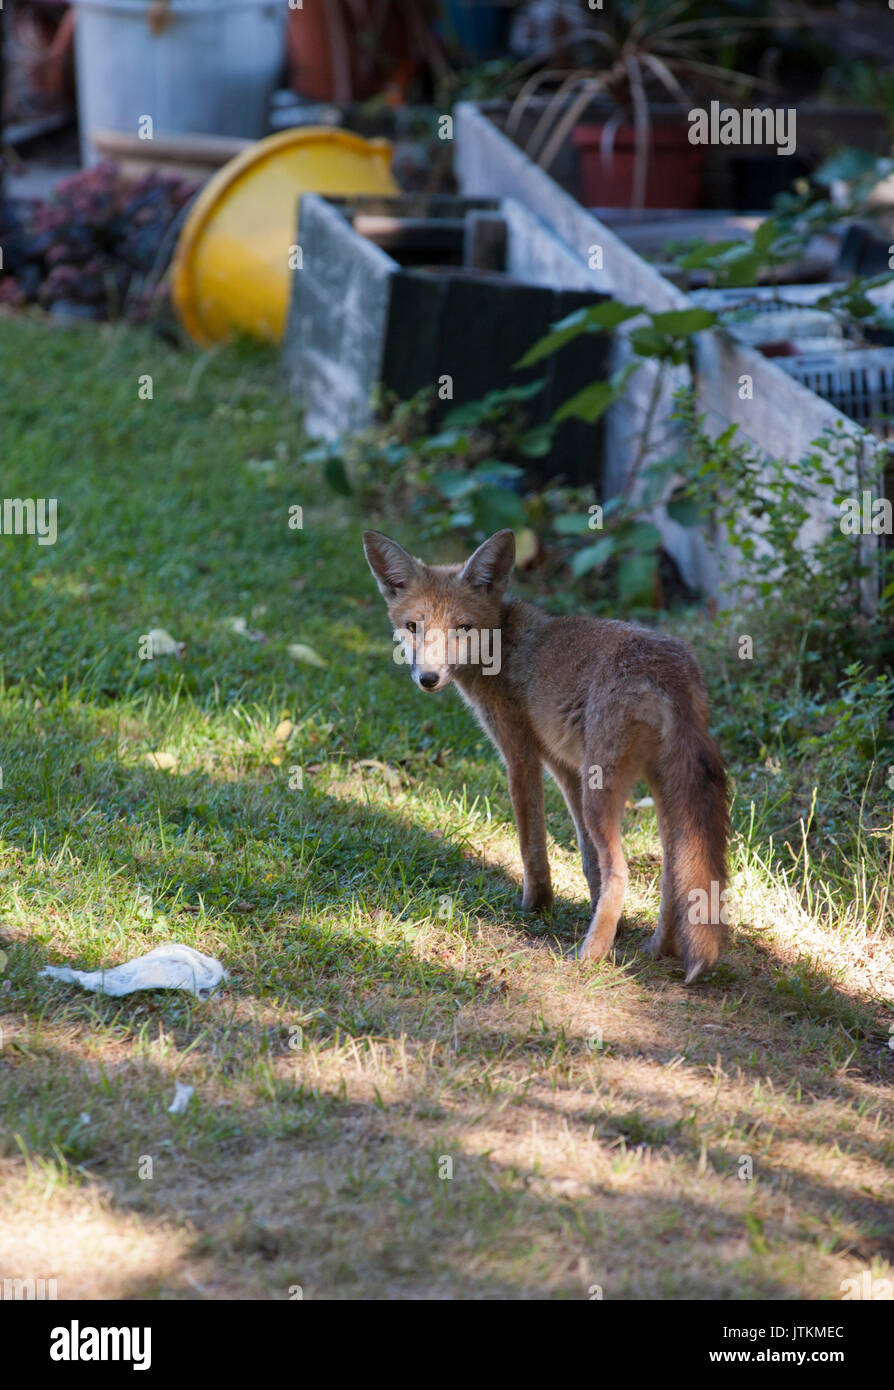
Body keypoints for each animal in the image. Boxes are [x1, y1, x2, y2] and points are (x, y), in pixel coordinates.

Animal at [363, 527, 730, 982]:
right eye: (413, 626)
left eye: (462, 628)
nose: (428, 679)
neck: (503, 644)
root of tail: (670, 668)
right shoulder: (564, 766)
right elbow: (588, 861)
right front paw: (602, 915)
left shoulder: (520, 755)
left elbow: (530, 844)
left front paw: (535, 905)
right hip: (656, 789)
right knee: (672, 870)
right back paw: (658, 948)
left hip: (603, 792)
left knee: (622, 870)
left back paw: (592, 954)